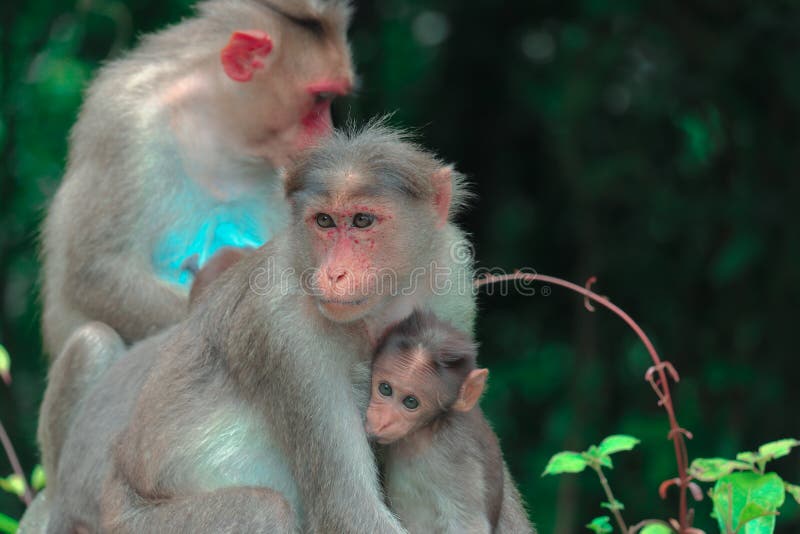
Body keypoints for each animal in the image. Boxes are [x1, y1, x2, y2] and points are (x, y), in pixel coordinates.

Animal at [33, 121, 495, 533]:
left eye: (363, 221)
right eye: (324, 221)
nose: (335, 274)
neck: (378, 313)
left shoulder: (450, 276)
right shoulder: (285, 335)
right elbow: (348, 512)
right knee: (262, 511)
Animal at [41, 0, 355, 357]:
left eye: (331, 98)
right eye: (320, 98)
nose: (328, 136)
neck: (217, 126)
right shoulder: (124, 125)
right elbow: (97, 272)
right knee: (96, 336)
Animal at [366, 309, 535, 534]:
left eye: (410, 402)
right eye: (385, 388)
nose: (383, 421)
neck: (429, 428)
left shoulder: (455, 457)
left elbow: (469, 524)